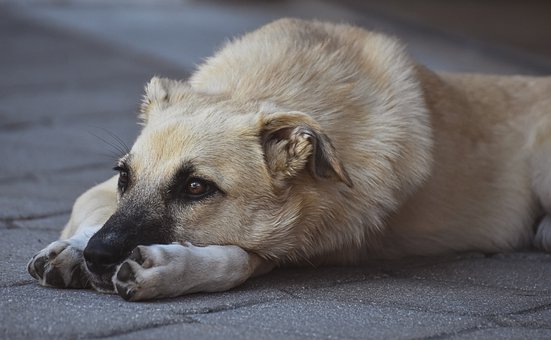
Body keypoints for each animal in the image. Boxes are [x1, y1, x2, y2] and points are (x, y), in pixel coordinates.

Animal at [27, 17, 551, 300]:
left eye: (196, 188)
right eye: (124, 177)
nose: (98, 258)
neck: (265, 86)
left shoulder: (293, 245)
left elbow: (236, 260)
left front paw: (168, 269)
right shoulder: (97, 192)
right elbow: (95, 216)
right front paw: (74, 248)